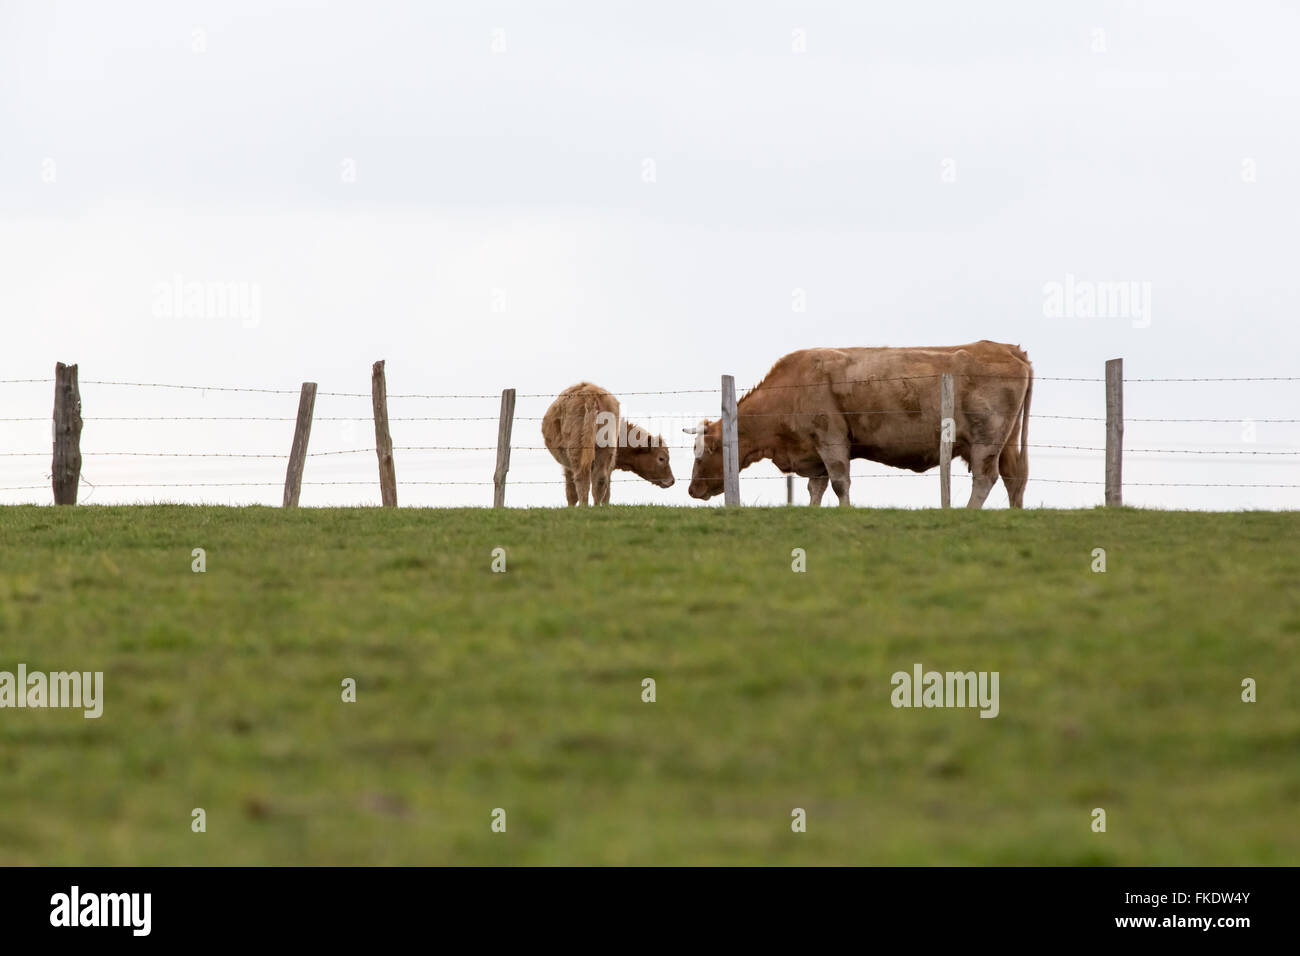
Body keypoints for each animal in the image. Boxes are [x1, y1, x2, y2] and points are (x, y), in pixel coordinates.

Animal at [542, 382, 675, 506]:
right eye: (661, 458)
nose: (672, 481)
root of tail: (591, 391)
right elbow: (606, 494)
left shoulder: (568, 467)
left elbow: (571, 493)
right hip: (604, 450)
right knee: (599, 480)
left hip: (577, 450)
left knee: (582, 477)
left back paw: (584, 506)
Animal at [686, 342, 1032, 509]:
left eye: (701, 454)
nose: (691, 490)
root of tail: (1005, 347)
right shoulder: (813, 453)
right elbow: (816, 488)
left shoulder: (831, 440)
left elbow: (840, 483)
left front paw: (846, 509)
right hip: (1007, 443)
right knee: (1014, 478)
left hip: (986, 441)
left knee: (985, 478)